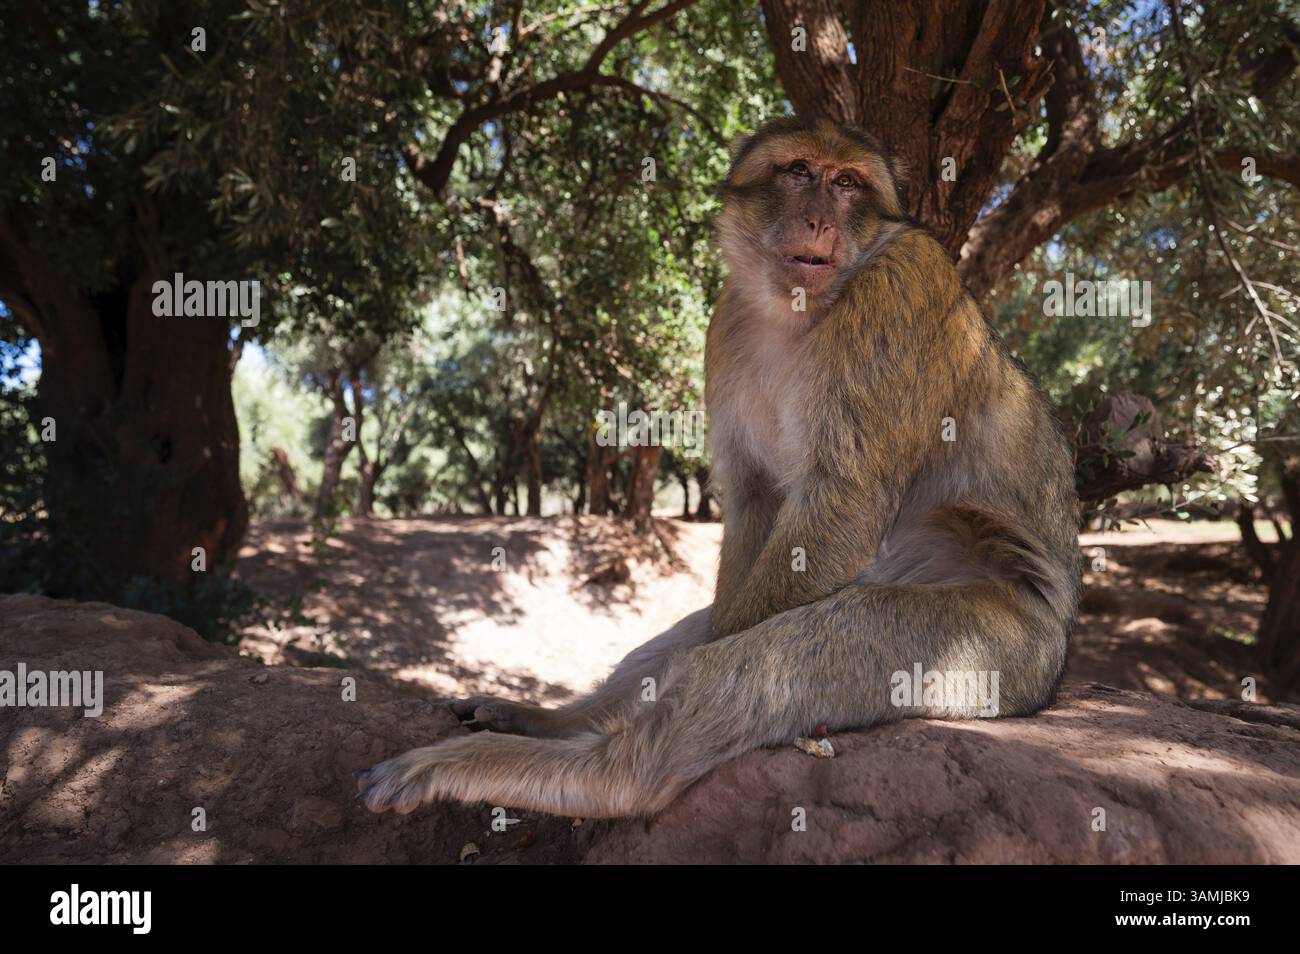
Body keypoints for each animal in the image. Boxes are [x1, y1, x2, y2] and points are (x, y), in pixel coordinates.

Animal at [356, 116, 1082, 819]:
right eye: (799, 171)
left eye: (848, 183)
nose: (820, 220)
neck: (799, 311)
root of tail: (1055, 662)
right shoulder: (726, 320)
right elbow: (755, 501)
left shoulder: (904, 282)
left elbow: (840, 505)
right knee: (700, 634)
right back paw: (552, 720)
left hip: (985, 648)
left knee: (781, 659)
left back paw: (574, 769)